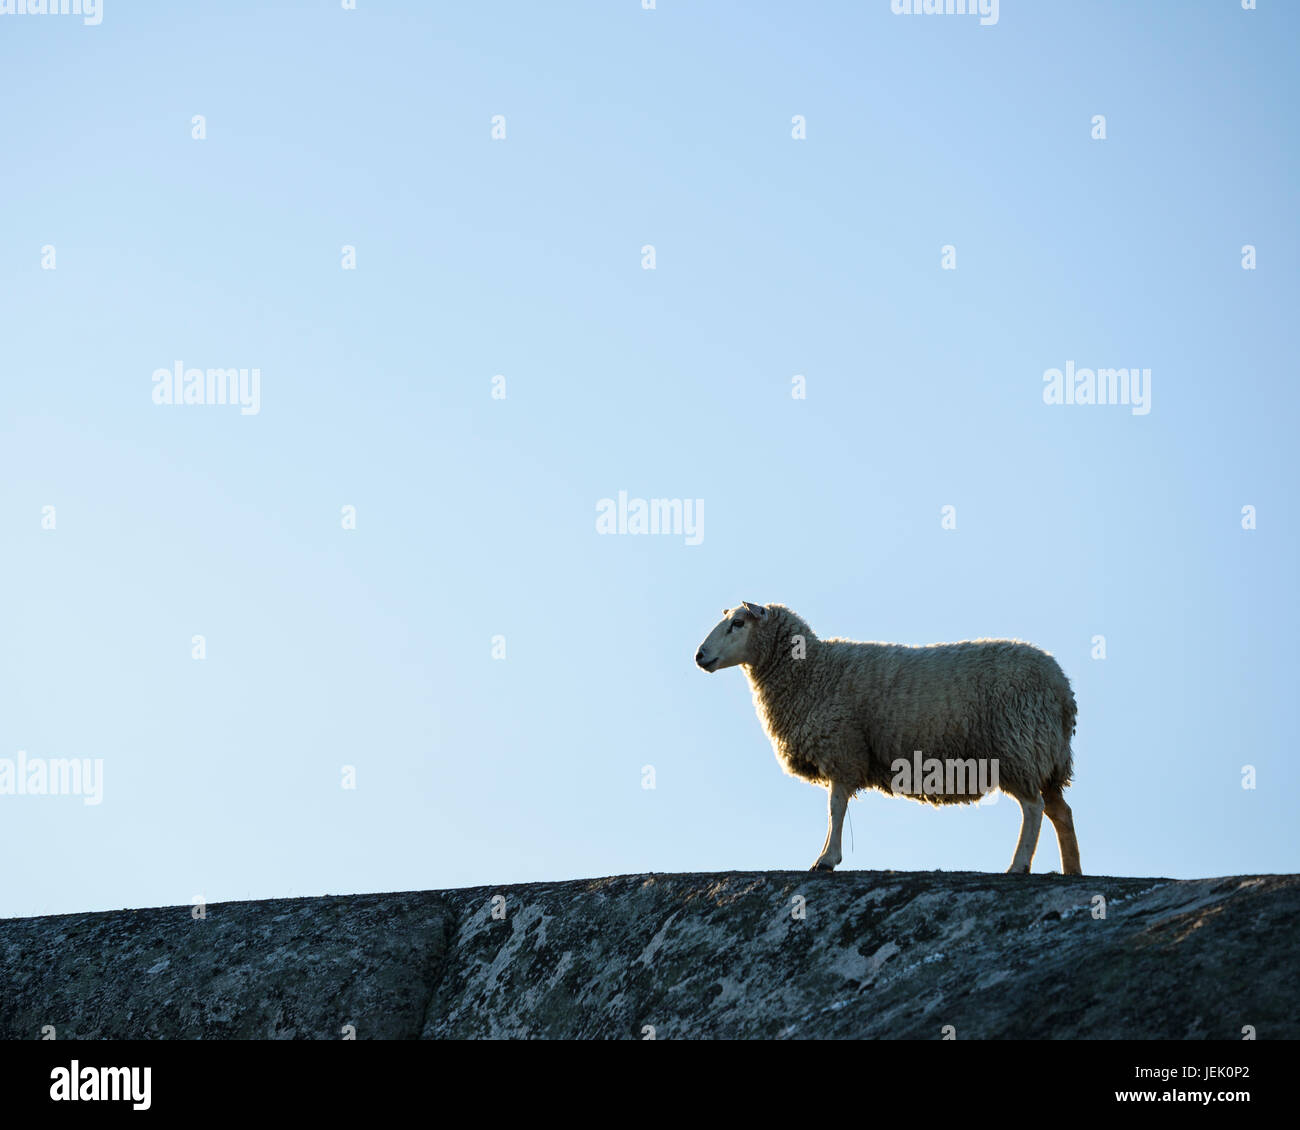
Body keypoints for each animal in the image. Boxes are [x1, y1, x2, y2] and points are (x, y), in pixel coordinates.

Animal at [694, 602, 1081, 875]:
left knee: (1034, 808)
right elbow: (835, 807)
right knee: (1060, 812)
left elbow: (835, 807)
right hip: (1043, 754)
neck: (811, 670)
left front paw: (827, 858)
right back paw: (1072, 870)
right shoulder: (844, 753)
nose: (699, 655)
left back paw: (1019, 865)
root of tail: (1063, 689)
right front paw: (824, 855)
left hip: (1018, 745)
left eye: (739, 623)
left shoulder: (842, 747)